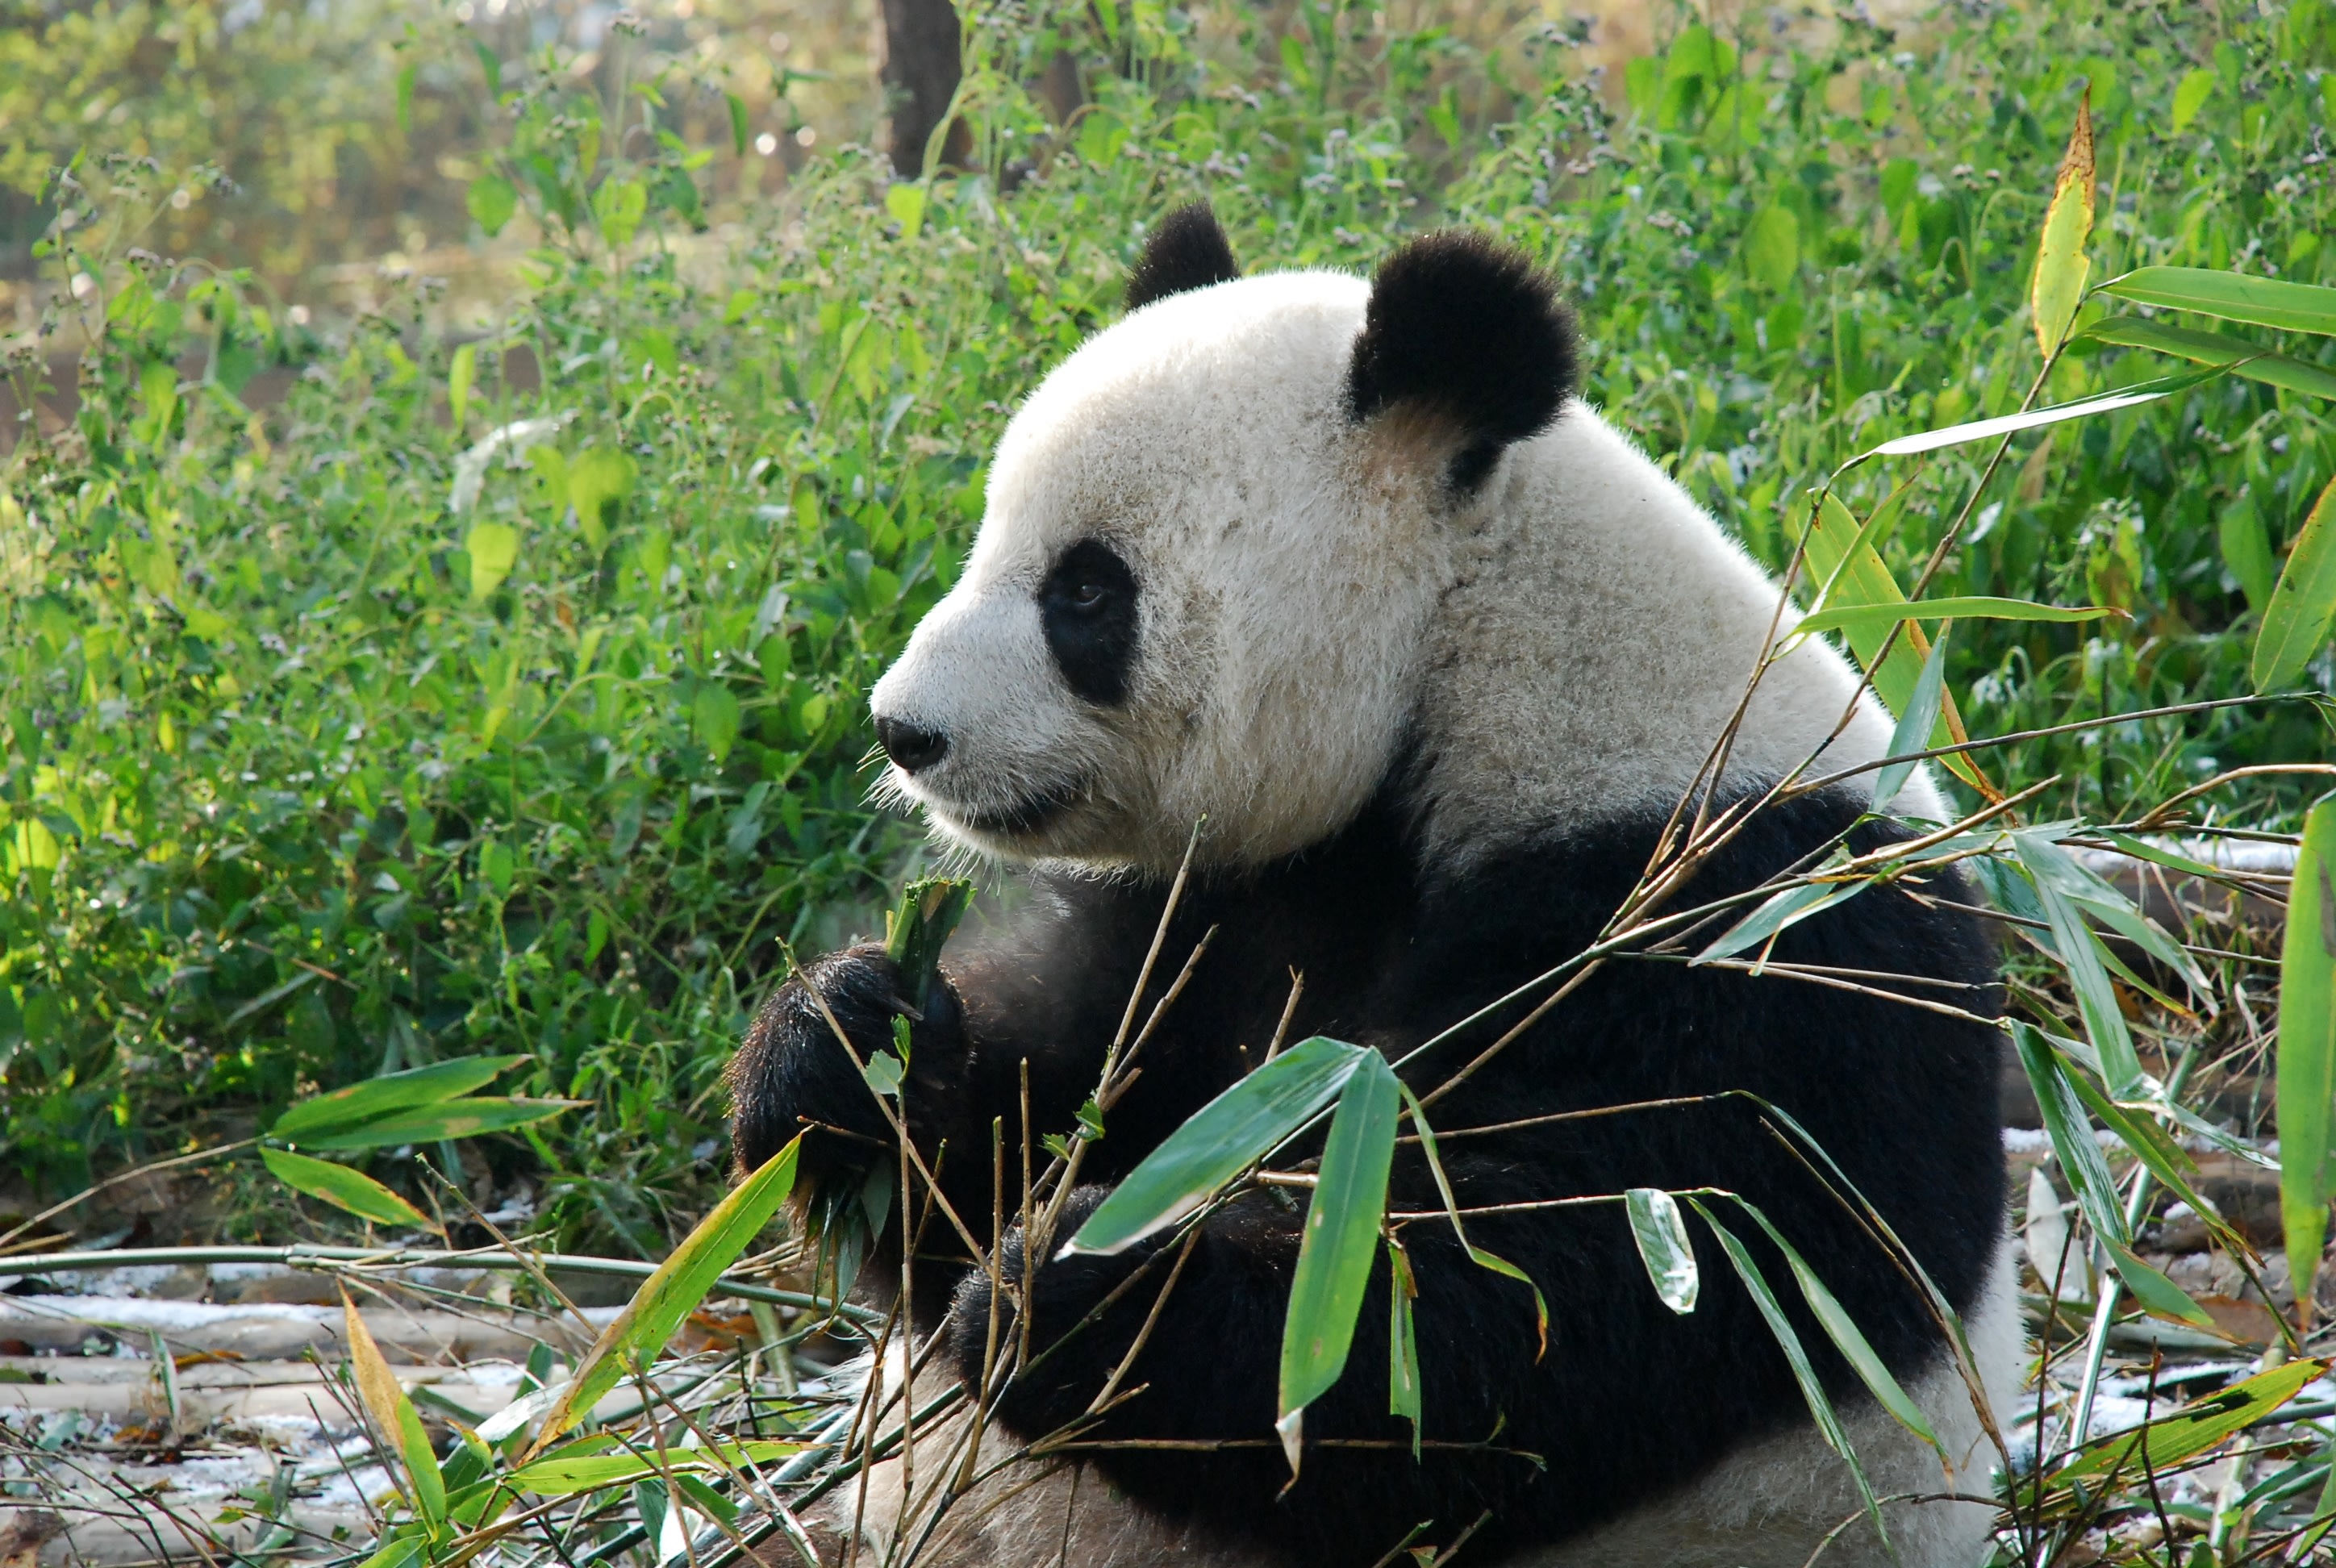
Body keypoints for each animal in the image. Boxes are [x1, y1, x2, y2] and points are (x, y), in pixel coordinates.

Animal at [726, 206, 2019, 1568]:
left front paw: (1084, 1291)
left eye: (1084, 588)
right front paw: (847, 1047)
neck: (1473, 646)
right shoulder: (1219, 901)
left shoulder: (1734, 927)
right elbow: (1054, 1094)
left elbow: (1550, 1310)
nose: (902, 730)